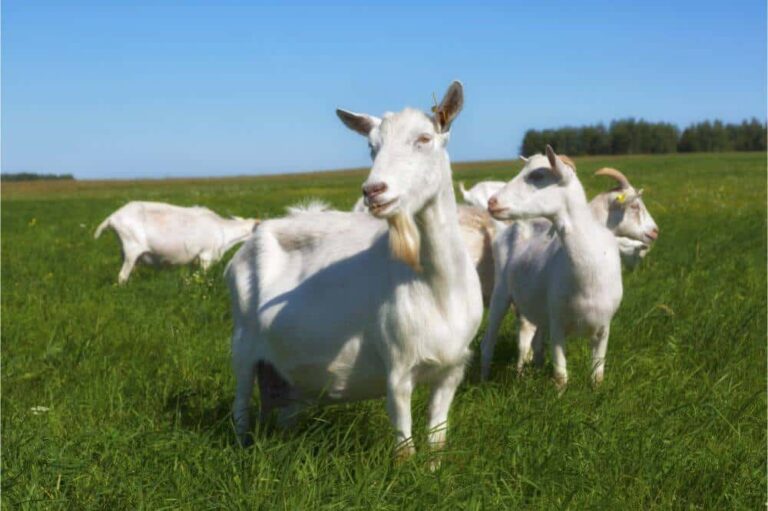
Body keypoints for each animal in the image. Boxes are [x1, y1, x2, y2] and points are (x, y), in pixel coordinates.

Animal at [94, 201, 258, 283]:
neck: (223, 229)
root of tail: (112, 218)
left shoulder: (195, 259)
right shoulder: (206, 256)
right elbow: (204, 276)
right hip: (131, 248)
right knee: (122, 276)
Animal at [225, 82, 482, 461]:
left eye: (424, 138)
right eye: (372, 146)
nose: (373, 191)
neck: (437, 286)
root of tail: (251, 241)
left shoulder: (452, 369)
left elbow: (437, 438)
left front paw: (435, 469)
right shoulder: (397, 367)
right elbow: (404, 445)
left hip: (285, 371)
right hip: (243, 344)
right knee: (241, 404)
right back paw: (241, 445)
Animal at [481, 146, 623, 389]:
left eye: (538, 175)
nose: (492, 203)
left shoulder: (604, 327)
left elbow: (598, 374)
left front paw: (597, 392)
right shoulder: (557, 324)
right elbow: (560, 374)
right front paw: (559, 395)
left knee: (534, 343)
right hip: (501, 291)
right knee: (490, 339)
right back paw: (483, 377)